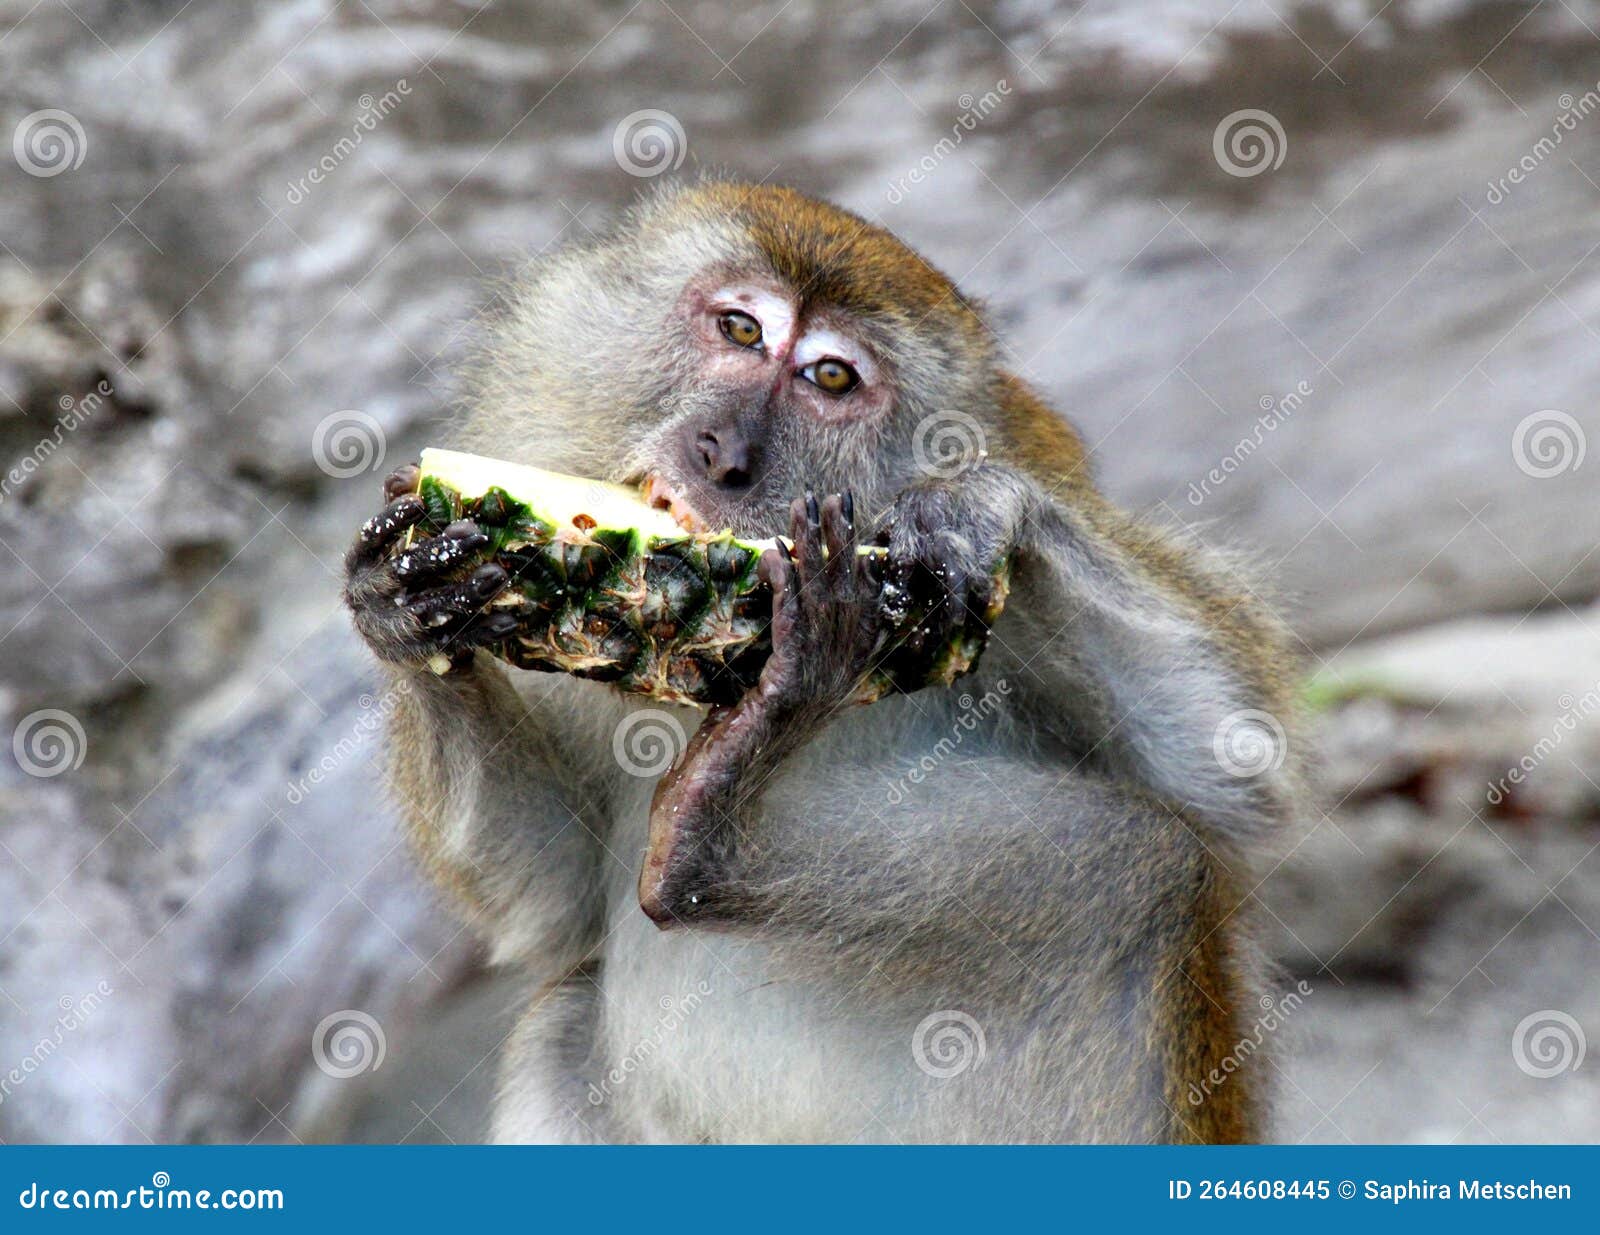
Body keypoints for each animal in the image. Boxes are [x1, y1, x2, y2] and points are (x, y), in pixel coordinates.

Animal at [343, 180, 1303, 1144]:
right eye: (740, 329)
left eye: (830, 378)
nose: (725, 453)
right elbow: (554, 905)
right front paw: (405, 607)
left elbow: (1235, 776)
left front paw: (979, 505)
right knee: (563, 1023)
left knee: (1154, 866)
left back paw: (711, 832)